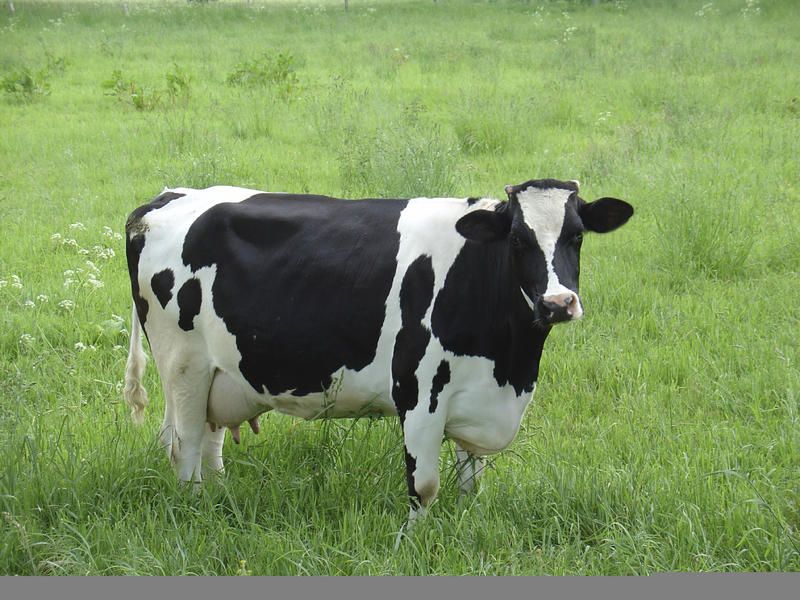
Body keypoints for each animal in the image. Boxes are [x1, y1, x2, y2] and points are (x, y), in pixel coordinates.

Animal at [123, 179, 632, 523]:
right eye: (517, 239)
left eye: (577, 235)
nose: (558, 303)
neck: (510, 366)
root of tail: (163, 199)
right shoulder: (420, 390)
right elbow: (424, 485)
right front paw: (414, 542)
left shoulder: (477, 394)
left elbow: (471, 480)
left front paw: (467, 528)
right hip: (183, 365)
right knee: (184, 447)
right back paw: (196, 511)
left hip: (221, 372)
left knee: (209, 442)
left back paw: (221, 500)